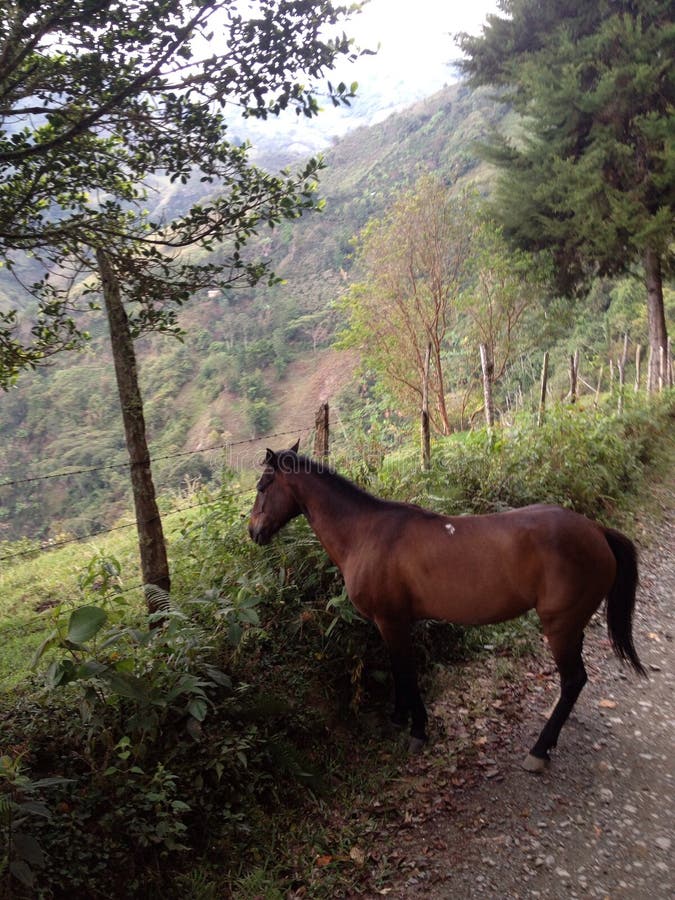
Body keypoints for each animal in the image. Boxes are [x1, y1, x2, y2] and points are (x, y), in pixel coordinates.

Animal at [248, 442, 645, 771]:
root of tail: (596, 530)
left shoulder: (391, 621)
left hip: (560, 625)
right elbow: (398, 670)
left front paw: (417, 730)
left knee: (573, 679)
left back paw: (539, 749)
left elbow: (406, 672)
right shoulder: (391, 624)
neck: (366, 534)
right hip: (572, 624)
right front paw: (398, 719)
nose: (253, 531)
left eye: (262, 486)